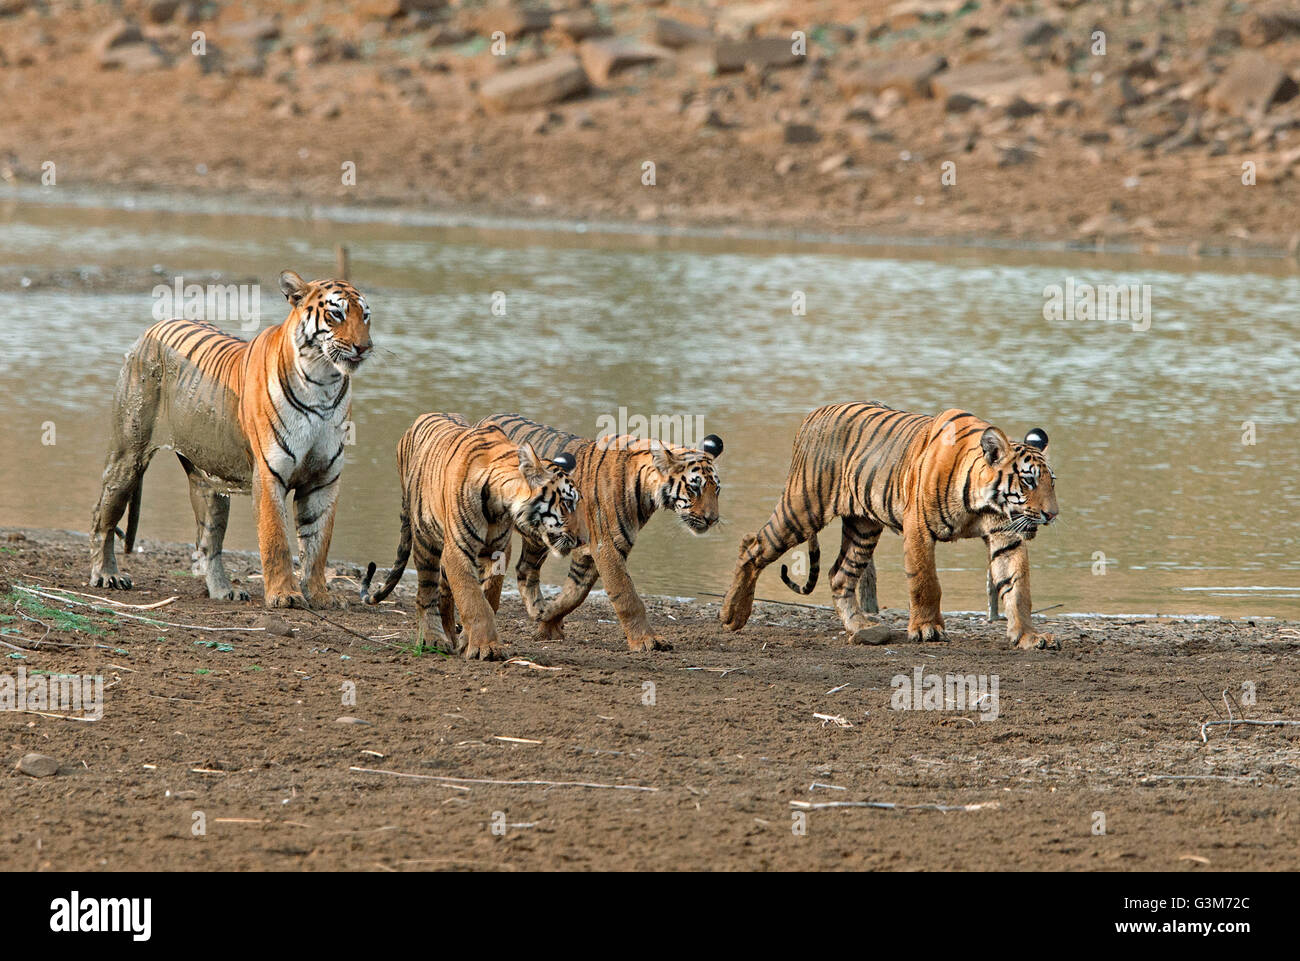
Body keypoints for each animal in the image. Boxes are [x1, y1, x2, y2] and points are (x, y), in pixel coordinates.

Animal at [89, 270, 372, 609]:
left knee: (208, 543)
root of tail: (152, 329)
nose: (364, 347)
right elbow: (276, 539)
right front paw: (285, 595)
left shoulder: (323, 479)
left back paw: (224, 590)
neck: (323, 384)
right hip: (128, 457)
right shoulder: (270, 474)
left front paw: (320, 596)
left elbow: (318, 544)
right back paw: (106, 574)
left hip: (208, 481)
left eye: (365, 316)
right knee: (102, 516)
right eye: (336, 314)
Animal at [358, 413, 585, 661]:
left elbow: (489, 596)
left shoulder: (499, 550)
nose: (583, 539)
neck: (500, 506)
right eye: (567, 503)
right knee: (426, 594)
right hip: (425, 542)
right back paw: (433, 639)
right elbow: (473, 599)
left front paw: (470, 641)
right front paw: (487, 648)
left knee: (444, 594)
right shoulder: (457, 550)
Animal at [480, 413, 724, 653]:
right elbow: (627, 596)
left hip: (539, 539)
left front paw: (547, 621)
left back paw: (536, 608)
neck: (645, 491)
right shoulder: (607, 548)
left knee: (525, 569)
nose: (712, 519)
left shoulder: (587, 553)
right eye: (694, 488)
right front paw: (647, 640)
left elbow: (573, 596)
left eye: (717, 490)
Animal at [720, 402, 1059, 650]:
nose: (1052, 514)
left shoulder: (1007, 536)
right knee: (752, 545)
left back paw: (861, 628)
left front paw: (1029, 637)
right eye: (1028, 481)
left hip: (863, 528)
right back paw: (732, 615)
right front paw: (927, 629)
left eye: (1051, 482)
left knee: (839, 575)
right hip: (802, 509)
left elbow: (1018, 589)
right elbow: (925, 582)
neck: (983, 503)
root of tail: (812, 414)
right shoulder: (918, 529)